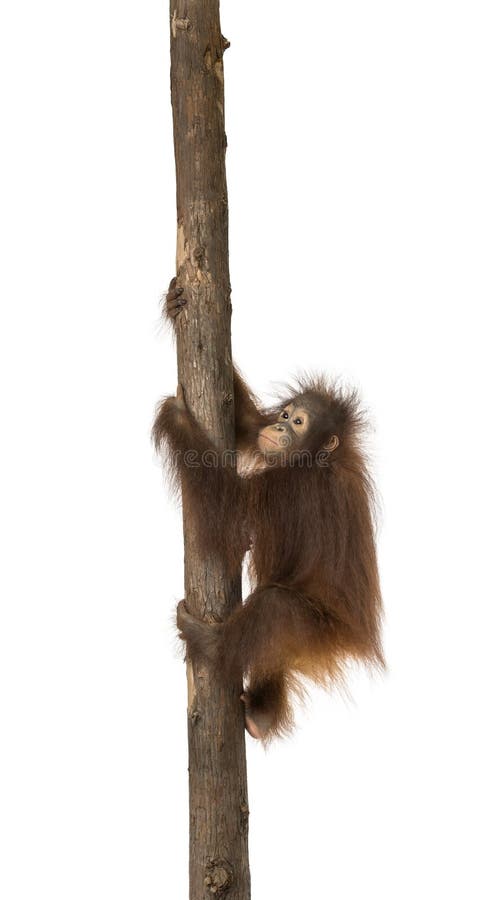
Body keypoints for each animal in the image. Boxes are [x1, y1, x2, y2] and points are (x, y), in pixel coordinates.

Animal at [154, 280, 384, 741]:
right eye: (283, 413)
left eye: (298, 423)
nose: (278, 425)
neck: (319, 458)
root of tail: (356, 642)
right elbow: (244, 425)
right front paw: (175, 302)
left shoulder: (288, 488)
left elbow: (232, 520)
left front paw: (179, 418)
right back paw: (261, 713)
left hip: (320, 634)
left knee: (274, 609)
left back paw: (213, 645)